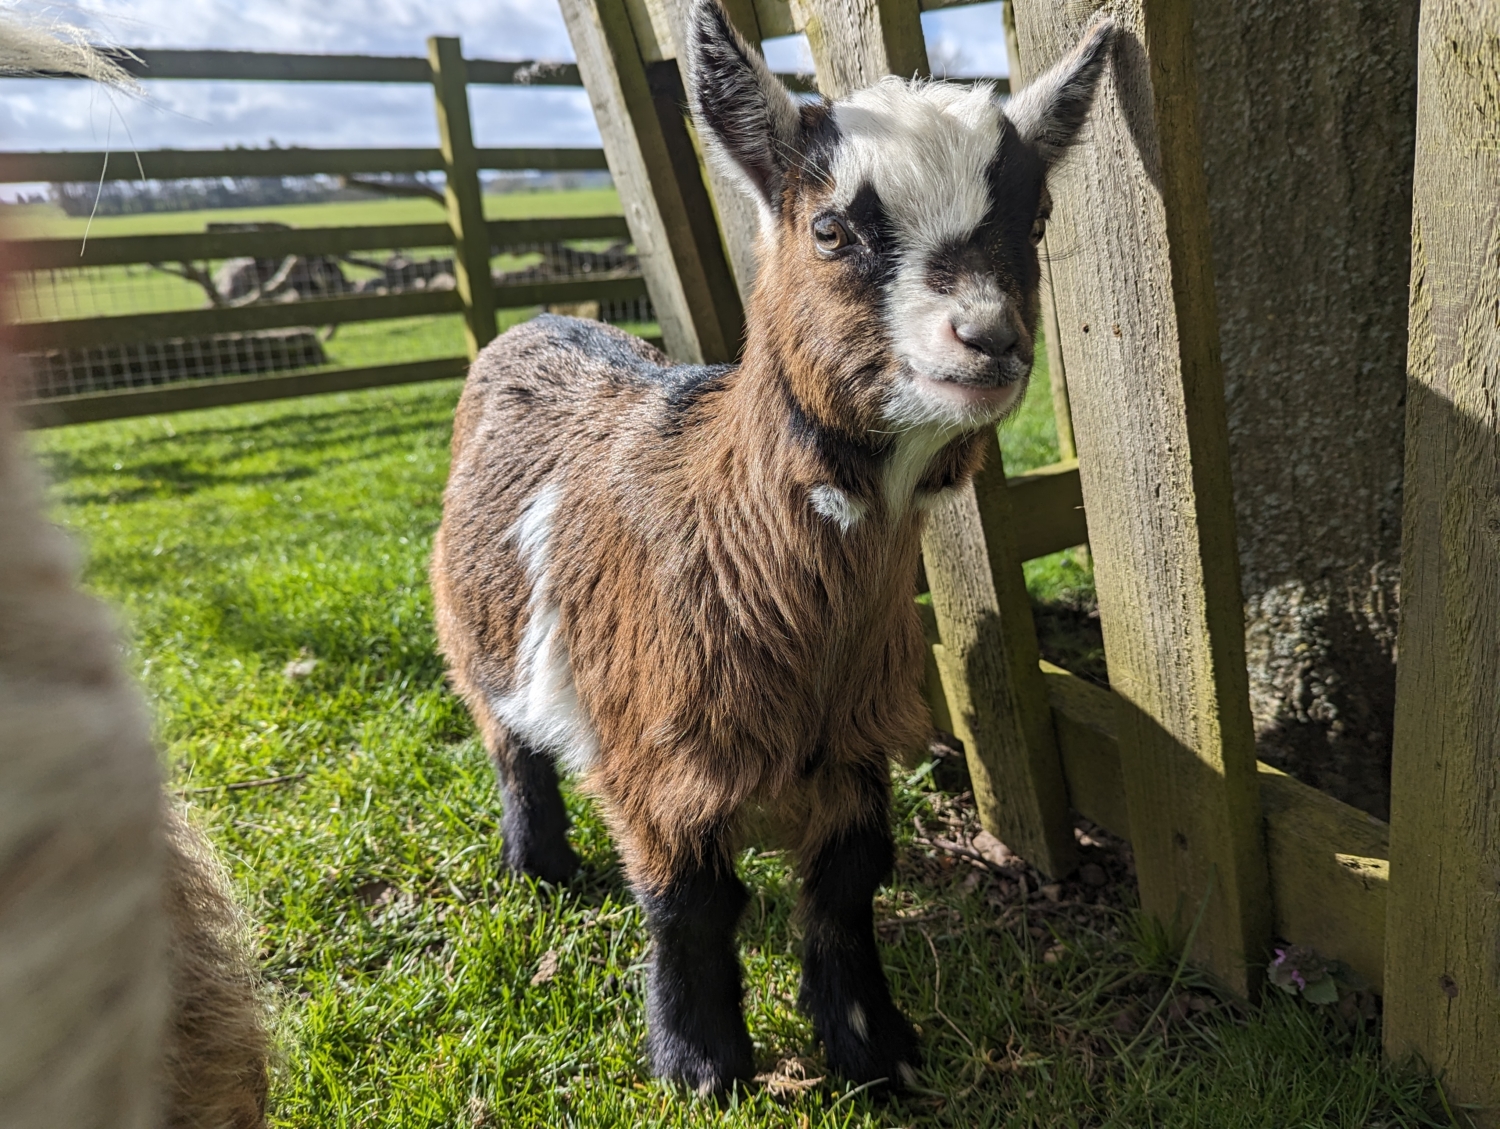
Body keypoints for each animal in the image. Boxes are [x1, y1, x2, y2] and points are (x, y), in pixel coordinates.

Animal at [431, 1, 1116, 1095]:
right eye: (831, 230)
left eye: (1038, 220)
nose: (989, 339)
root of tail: (539, 322)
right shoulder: (653, 750)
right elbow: (687, 902)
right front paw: (699, 1062)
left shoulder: (857, 738)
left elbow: (847, 885)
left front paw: (875, 1049)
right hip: (470, 627)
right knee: (509, 741)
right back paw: (541, 866)